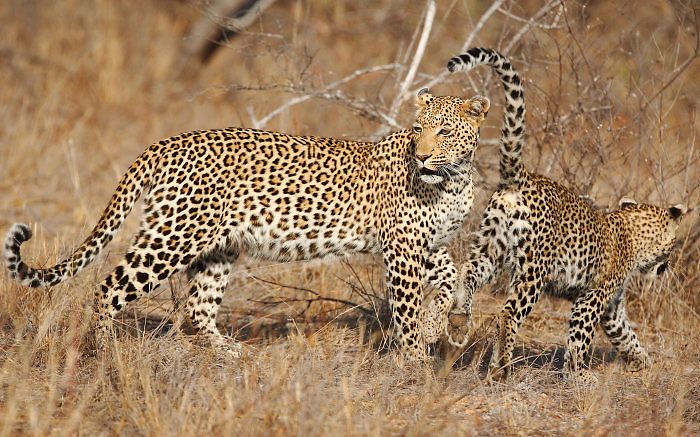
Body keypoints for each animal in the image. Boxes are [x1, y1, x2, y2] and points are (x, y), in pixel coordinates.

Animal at [4, 88, 491, 362]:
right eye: (419, 129)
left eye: (445, 132)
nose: (423, 156)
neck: (454, 178)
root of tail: (164, 143)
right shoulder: (403, 248)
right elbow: (407, 306)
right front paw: (415, 357)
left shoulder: (429, 246)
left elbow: (452, 279)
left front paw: (434, 326)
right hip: (172, 237)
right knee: (108, 288)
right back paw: (106, 352)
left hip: (217, 247)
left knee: (198, 308)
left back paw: (228, 351)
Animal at [429, 47, 688, 382]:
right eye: (672, 246)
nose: (665, 268)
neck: (632, 233)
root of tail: (519, 177)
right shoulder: (592, 297)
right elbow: (580, 337)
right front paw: (578, 376)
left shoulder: (613, 307)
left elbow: (627, 335)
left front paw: (644, 363)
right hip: (533, 269)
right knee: (508, 313)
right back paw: (501, 368)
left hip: (490, 247)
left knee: (466, 273)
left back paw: (459, 318)